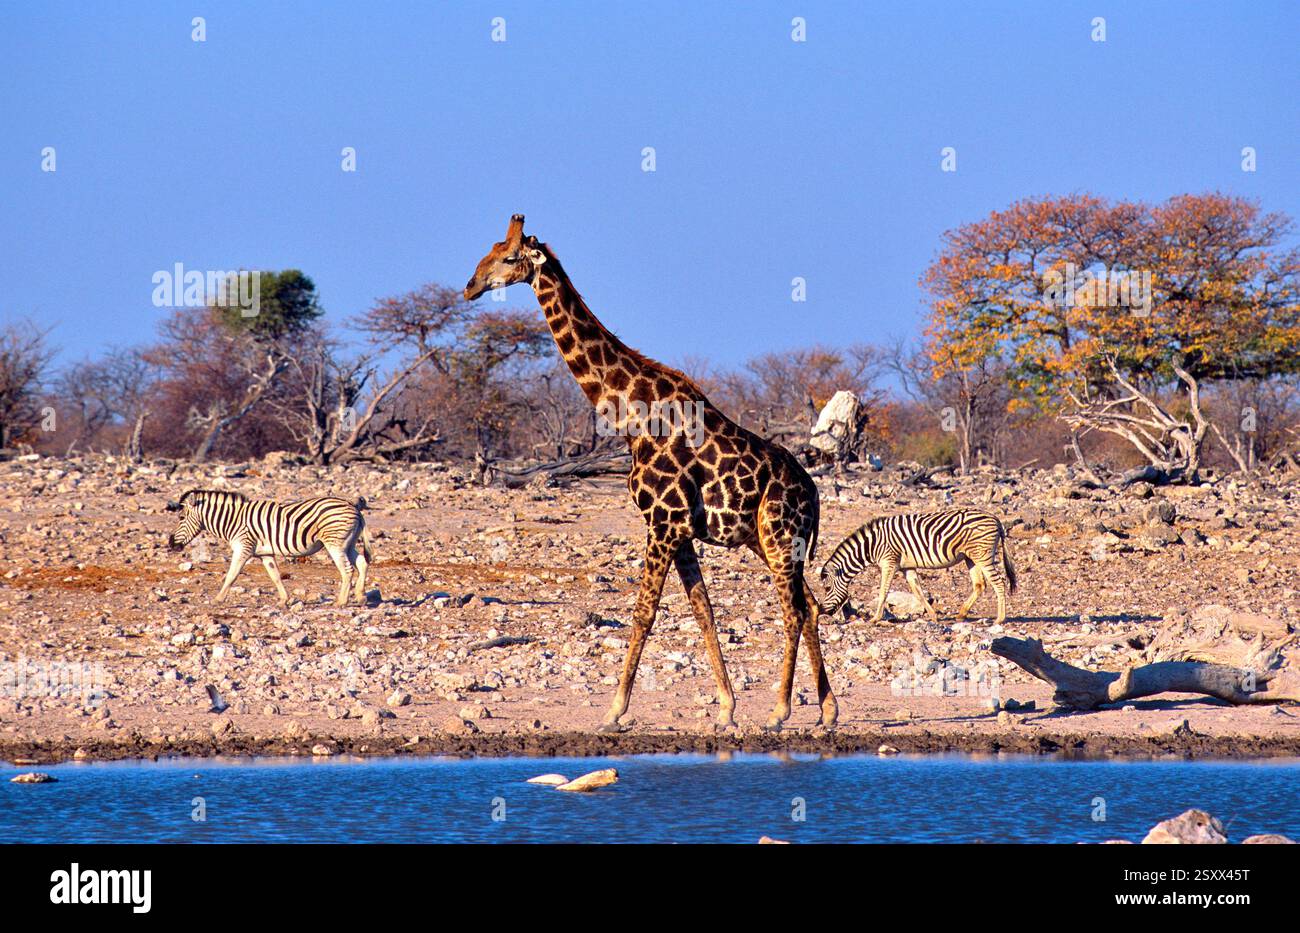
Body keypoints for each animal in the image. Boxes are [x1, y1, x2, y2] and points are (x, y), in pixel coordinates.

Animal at [465, 214, 837, 732]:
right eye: (490, 250)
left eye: (508, 256)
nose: (470, 286)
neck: (628, 413)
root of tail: (814, 495)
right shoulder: (679, 530)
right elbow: (703, 611)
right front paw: (725, 707)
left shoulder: (663, 523)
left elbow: (644, 613)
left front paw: (614, 709)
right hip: (767, 541)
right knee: (812, 605)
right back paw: (828, 708)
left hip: (781, 535)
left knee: (794, 610)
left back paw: (780, 710)